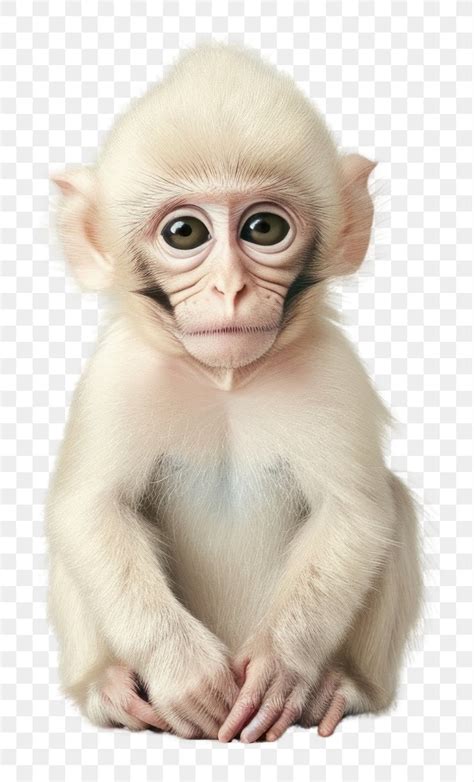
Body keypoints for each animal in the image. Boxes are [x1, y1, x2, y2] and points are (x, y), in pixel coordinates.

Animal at [46, 41, 422, 743]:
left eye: (264, 228)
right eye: (185, 234)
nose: (229, 288)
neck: (226, 385)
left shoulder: (334, 372)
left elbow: (357, 513)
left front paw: (279, 670)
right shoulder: (117, 379)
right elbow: (89, 511)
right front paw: (185, 676)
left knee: (395, 501)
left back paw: (342, 685)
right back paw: (108, 687)